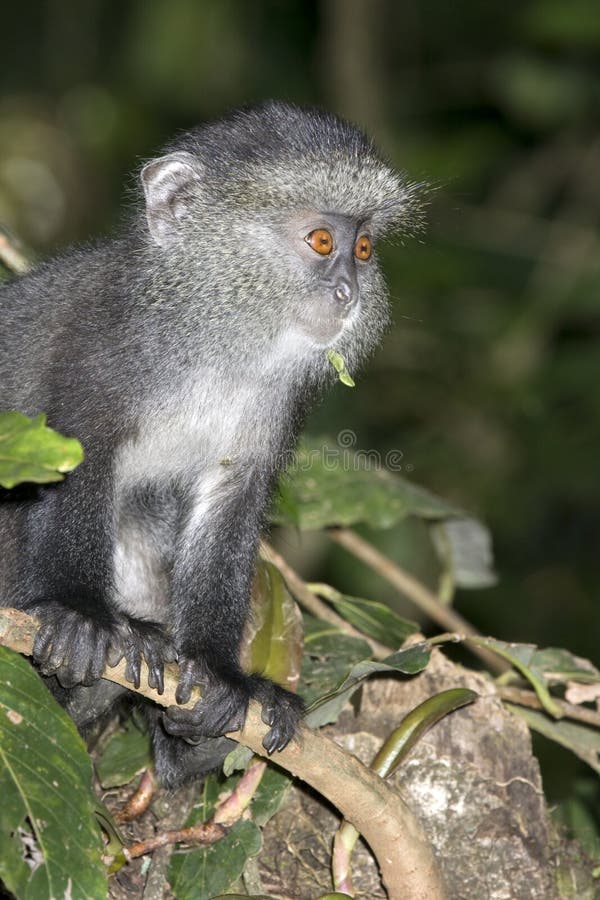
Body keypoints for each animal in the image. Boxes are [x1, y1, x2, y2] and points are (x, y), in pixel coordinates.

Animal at [0, 102, 421, 787]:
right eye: (321, 242)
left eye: (362, 249)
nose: (349, 293)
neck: (215, 342)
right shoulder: (100, 344)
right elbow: (73, 456)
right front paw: (78, 614)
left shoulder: (273, 406)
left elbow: (232, 498)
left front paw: (221, 677)